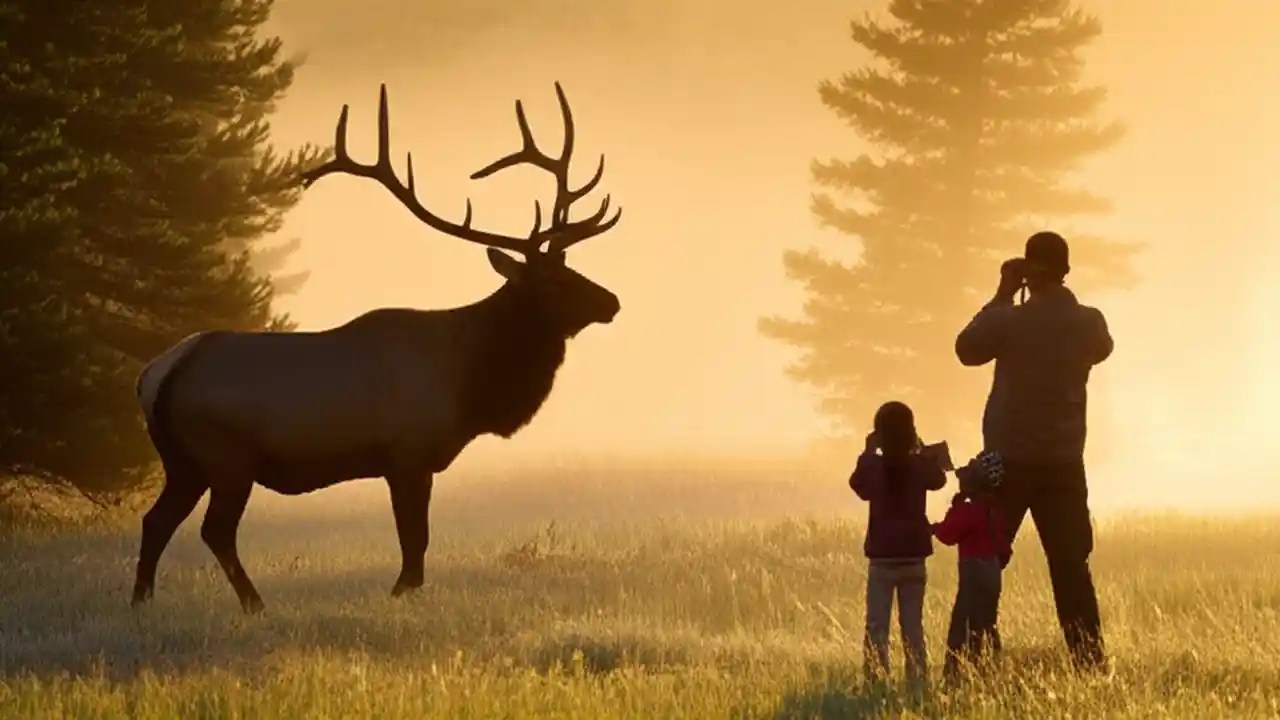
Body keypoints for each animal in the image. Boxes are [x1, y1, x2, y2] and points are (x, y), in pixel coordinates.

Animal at [130, 83, 622, 613]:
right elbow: (415, 543)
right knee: (215, 530)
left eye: (571, 267)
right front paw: (401, 593)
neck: (470, 384)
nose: (612, 301)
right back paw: (254, 604)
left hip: (182, 462)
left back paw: (142, 603)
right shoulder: (408, 453)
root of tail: (156, 376)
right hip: (226, 457)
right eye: (552, 282)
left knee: (156, 521)